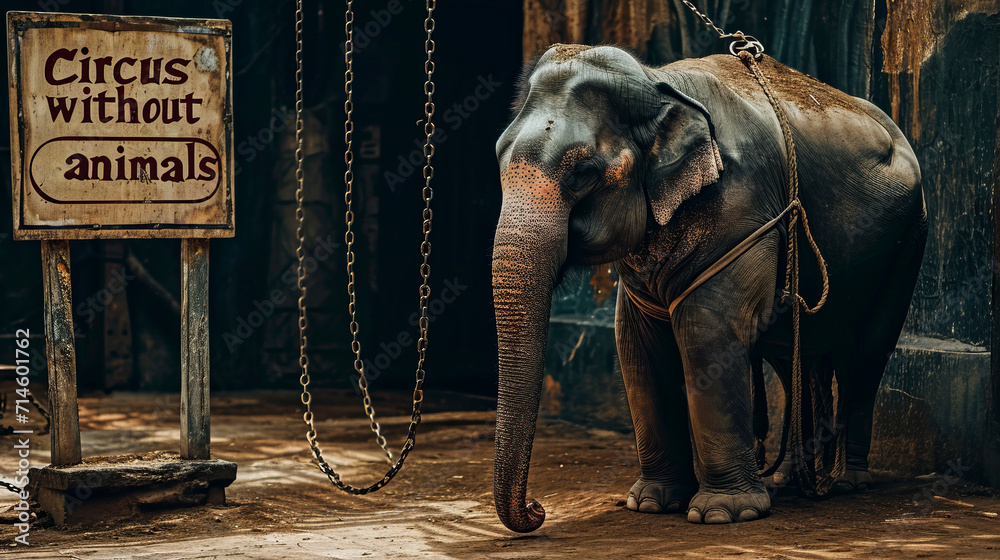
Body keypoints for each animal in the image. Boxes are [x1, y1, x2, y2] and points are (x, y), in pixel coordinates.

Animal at [491, 44, 926, 532]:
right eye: (499, 157)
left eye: (583, 173)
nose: (537, 509)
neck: (657, 82)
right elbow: (637, 344)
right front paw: (651, 504)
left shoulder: (741, 210)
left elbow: (707, 331)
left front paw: (724, 514)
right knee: (799, 359)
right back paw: (796, 482)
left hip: (908, 240)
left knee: (863, 356)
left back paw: (848, 482)